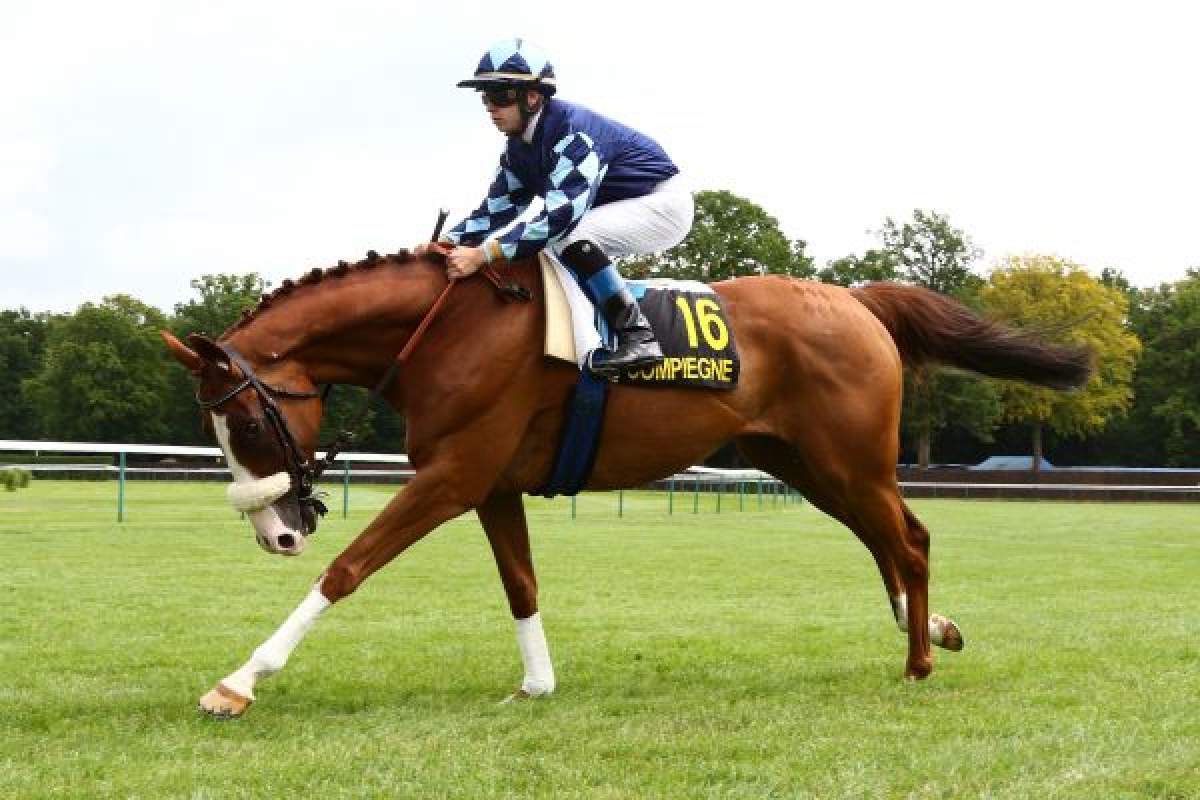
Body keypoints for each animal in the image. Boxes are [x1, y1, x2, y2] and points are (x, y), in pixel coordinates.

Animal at [161, 249, 1090, 718]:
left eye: (249, 427)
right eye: (221, 435)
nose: (276, 532)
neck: (442, 328)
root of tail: (857, 301)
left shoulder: (452, 475)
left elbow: (348, 569)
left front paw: (239, 681)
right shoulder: (490, 484)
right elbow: (521, 584)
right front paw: (536, 684)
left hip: (846, 459)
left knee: (909, 538)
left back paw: (918, 660)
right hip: (806, 465)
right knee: (890, 538)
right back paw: (929, 627)